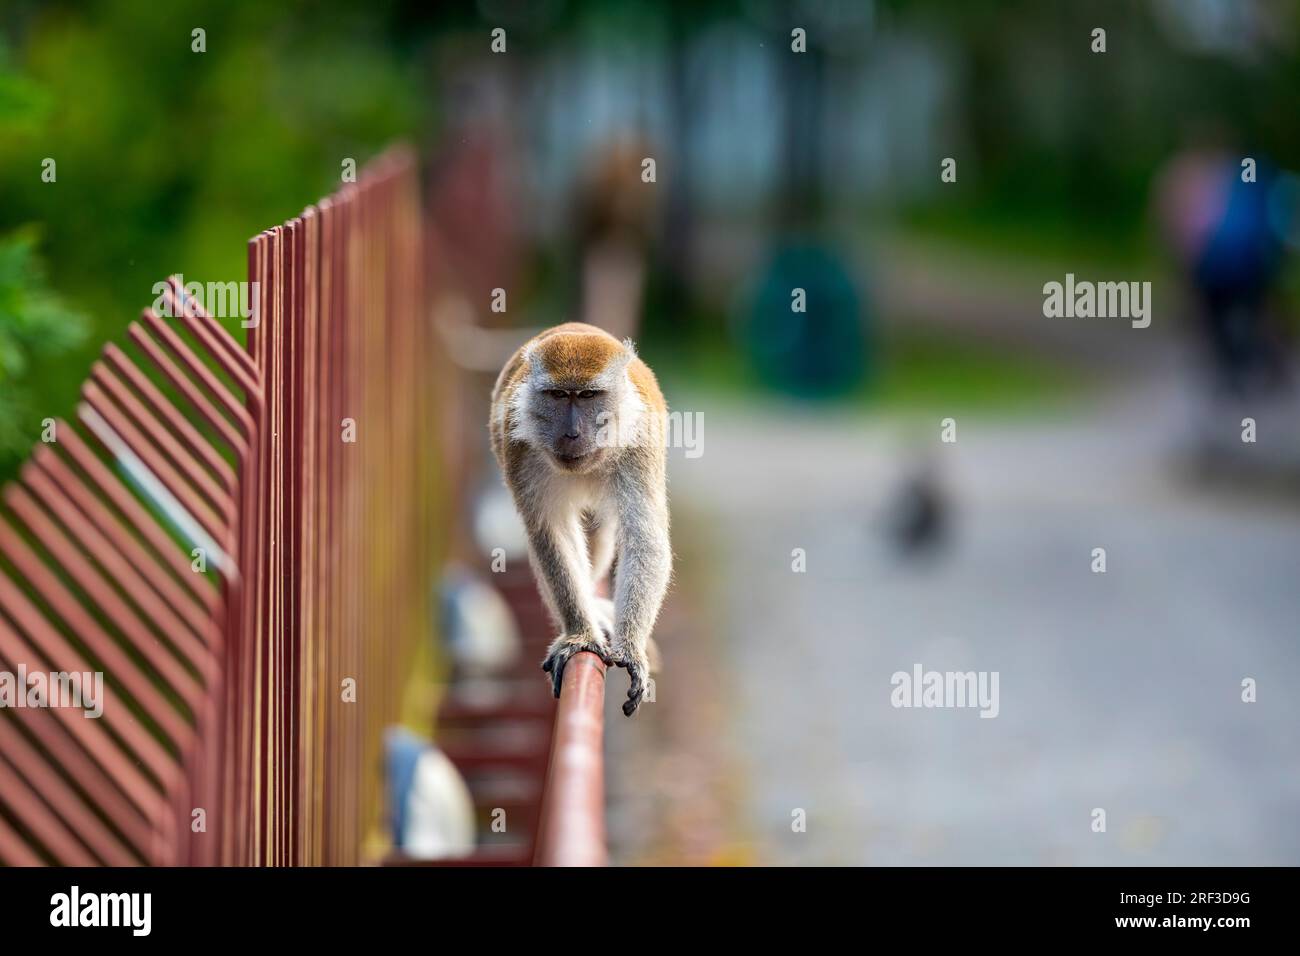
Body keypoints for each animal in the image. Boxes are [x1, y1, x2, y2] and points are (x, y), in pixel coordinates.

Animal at [489, 322, 671, 715]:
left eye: (588, 396)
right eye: (558, 395)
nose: (572, 433)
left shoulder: (641, 441)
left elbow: (644, 536)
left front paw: (630, 648)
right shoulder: (518, 445)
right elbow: (549, 533)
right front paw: (580, 634)